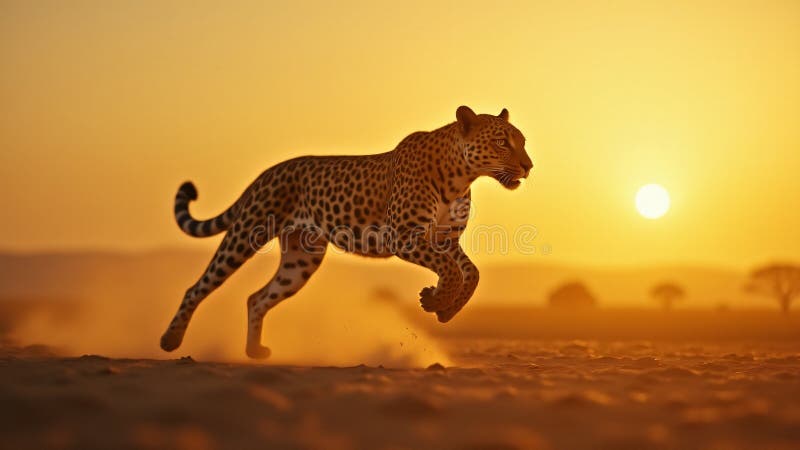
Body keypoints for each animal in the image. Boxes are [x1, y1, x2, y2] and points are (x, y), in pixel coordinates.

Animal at [161, 106, 533, 359]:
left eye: (523, 141)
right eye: (502, 142)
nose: (528, 166)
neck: (461, 177)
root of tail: (266, 172)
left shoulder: (445, 239)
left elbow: (471, 272)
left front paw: (444, 307)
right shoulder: (405, 235)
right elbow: (452, 270)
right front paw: (437, 299)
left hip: (301, 260)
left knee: (258, 297)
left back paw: (255, 351)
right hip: (246, 232)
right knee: (197, 287)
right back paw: (171, 340)